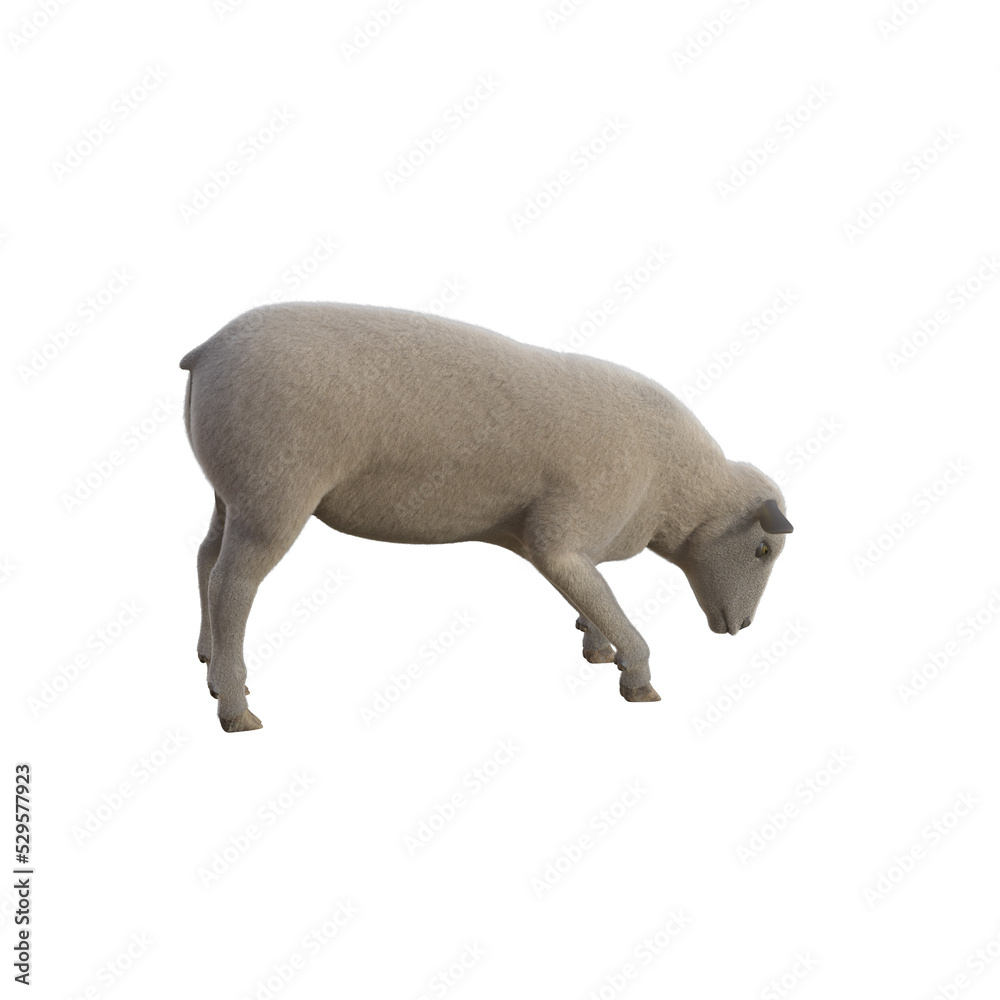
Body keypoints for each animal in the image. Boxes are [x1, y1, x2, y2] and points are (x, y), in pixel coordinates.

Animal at [180, 302, 793, 732]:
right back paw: (235, 707)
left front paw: (598, 648)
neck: (676, 489)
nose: (740, 627)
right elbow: (607, 602)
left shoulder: (573, 546)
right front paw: (639, 677)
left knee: (206, 560)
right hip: (273, 494)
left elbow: (596, 597)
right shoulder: (559, 536)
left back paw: (209, 664)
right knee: (232, 586)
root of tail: (207, 350)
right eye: (763, 548)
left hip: (230, 493)